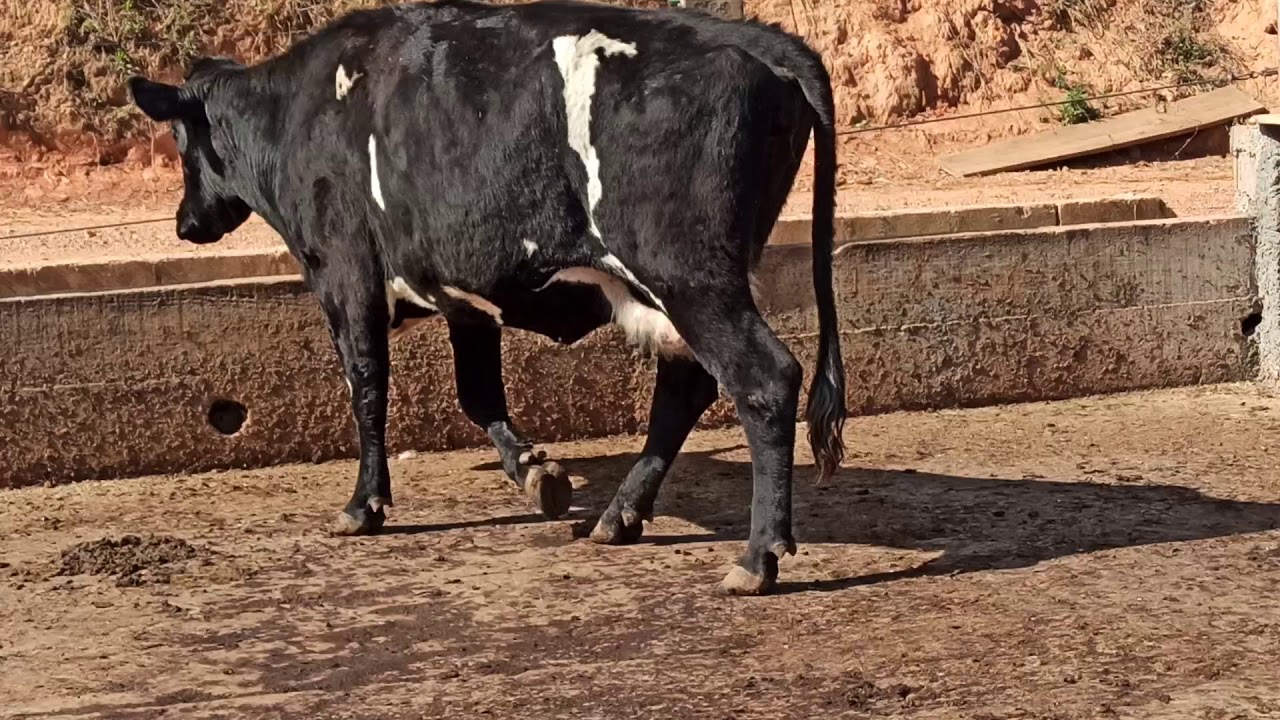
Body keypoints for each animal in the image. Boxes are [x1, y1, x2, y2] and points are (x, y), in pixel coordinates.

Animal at [126, 0, 845, 595]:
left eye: (181, 141)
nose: (186, 223)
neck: (295, 113)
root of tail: (756, 38)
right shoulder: (464, 297)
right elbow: (478, 395)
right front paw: (535, 471)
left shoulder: (344, 275)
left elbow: (367, 388)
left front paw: (365, 505)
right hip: (671, 289)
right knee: (686, 387)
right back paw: (619, 516)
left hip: (689, 276)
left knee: (764, 379)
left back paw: (757, 558)